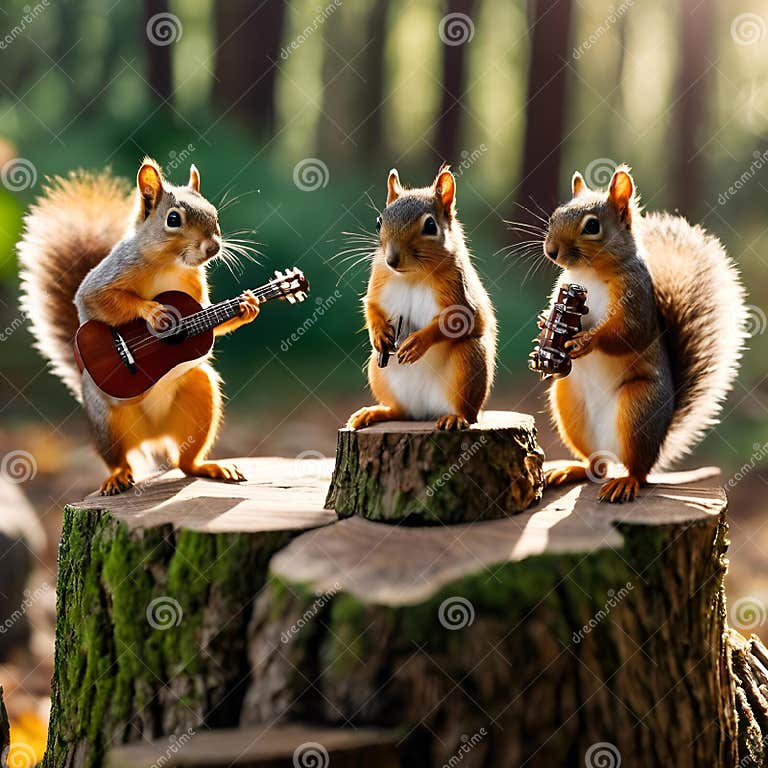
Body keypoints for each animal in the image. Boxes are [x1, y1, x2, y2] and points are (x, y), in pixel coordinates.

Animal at [18, 158, 261, 495]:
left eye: (214, 214)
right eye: (173, 219)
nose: (213, 247)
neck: (171, 263)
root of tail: (153, 435)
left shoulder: (197, 295)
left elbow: (211, 320)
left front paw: (248, 306)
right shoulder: (105, 280)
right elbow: (96, 299)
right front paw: (154, 312)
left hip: (199, 394)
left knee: (184, 462)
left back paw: (208, 467)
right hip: (107, 421)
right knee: (119, 458)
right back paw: (118, 476)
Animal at [348, 165, 497, 432]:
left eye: (430, 226)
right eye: (379, 222)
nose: (392, 259)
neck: (412, 275)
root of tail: (424, 412)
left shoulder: (461, 294)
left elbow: (454, 322)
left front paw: (418, 342)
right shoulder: (379, 278)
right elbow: (372, 306)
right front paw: (378, 333)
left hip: (470, 361)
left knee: (467, 412)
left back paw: (455, 418)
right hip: (378, 370)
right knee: (399, 410)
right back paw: (375, 412)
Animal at [540, 164, 747, 502]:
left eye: (592, 226)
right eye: (554, 216)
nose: (551, 250)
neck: (589, 274)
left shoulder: (636, 299)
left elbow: (628, 333)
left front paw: (588, 340)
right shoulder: (564, 287)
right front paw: (544, 325)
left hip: (639, 408)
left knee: (638, 469)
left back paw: (626, 482)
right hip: (568, 399)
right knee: (595, 465)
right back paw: (571, 469)